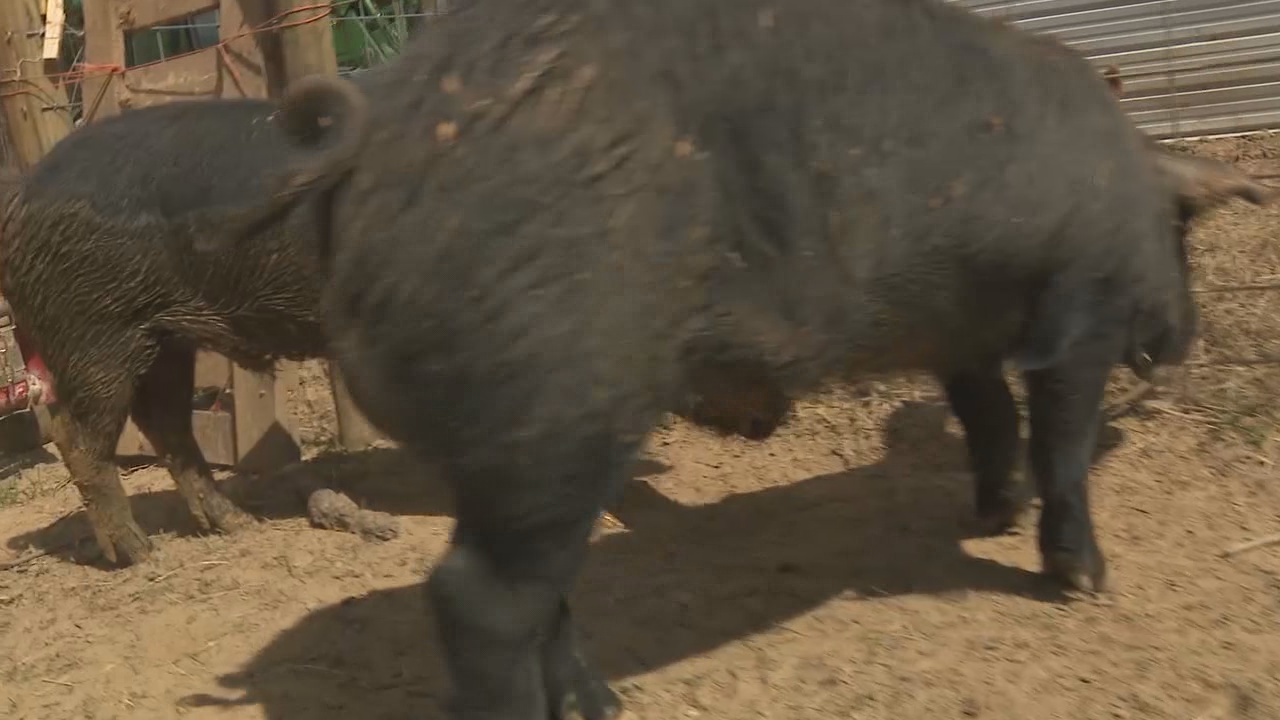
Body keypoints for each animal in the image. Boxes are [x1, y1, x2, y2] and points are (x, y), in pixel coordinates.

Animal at [209, 0, 1273, 717]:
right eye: (1182, 232)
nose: (1183, 341)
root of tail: (369, 147)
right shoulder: (1079, 308)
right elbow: (1059, 439)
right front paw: (1081, 580)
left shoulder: (958, 328)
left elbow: (986, 414)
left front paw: (992, 514)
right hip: (556, 413)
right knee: (478, 597)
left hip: (515, 448)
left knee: (539, 590)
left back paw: (602, 705)